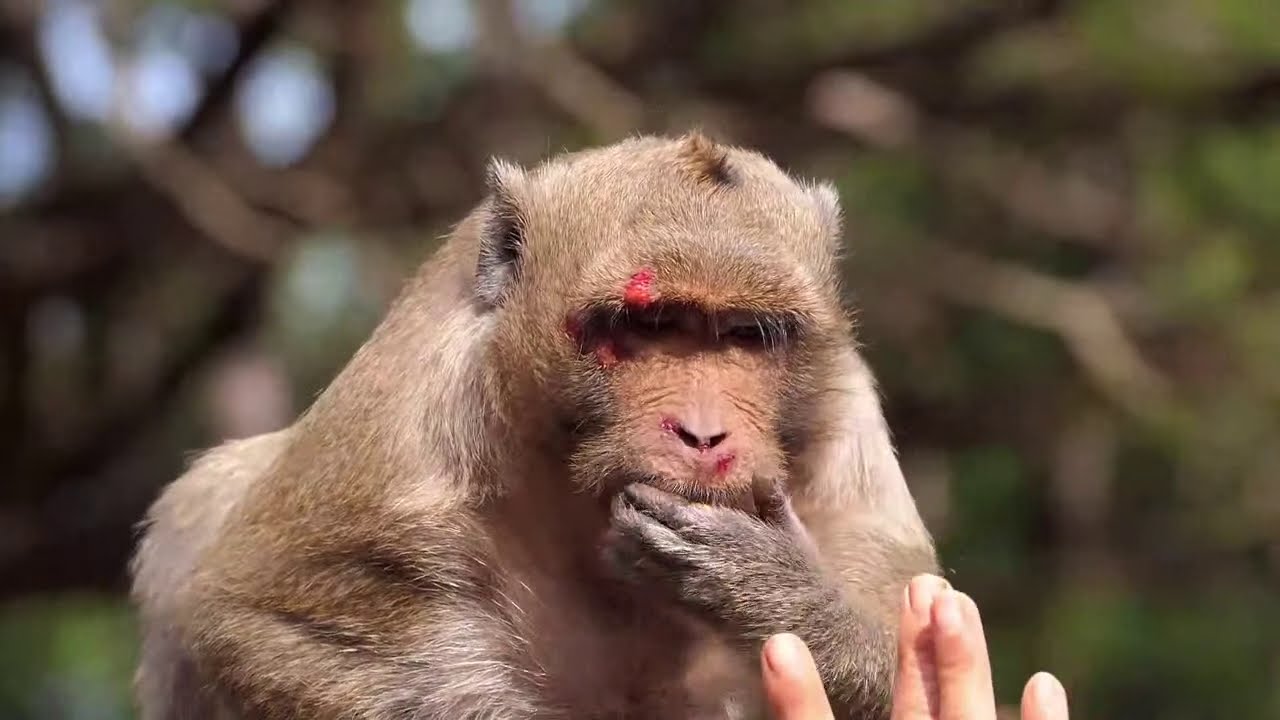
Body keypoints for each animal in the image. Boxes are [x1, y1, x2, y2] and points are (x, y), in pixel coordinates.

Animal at [129, 132, 939, 720]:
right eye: (646, 324)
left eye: (746, 334)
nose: (703, 435)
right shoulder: (411, 425)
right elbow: (250, 624)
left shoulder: (845, 404)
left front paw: (773, 589)